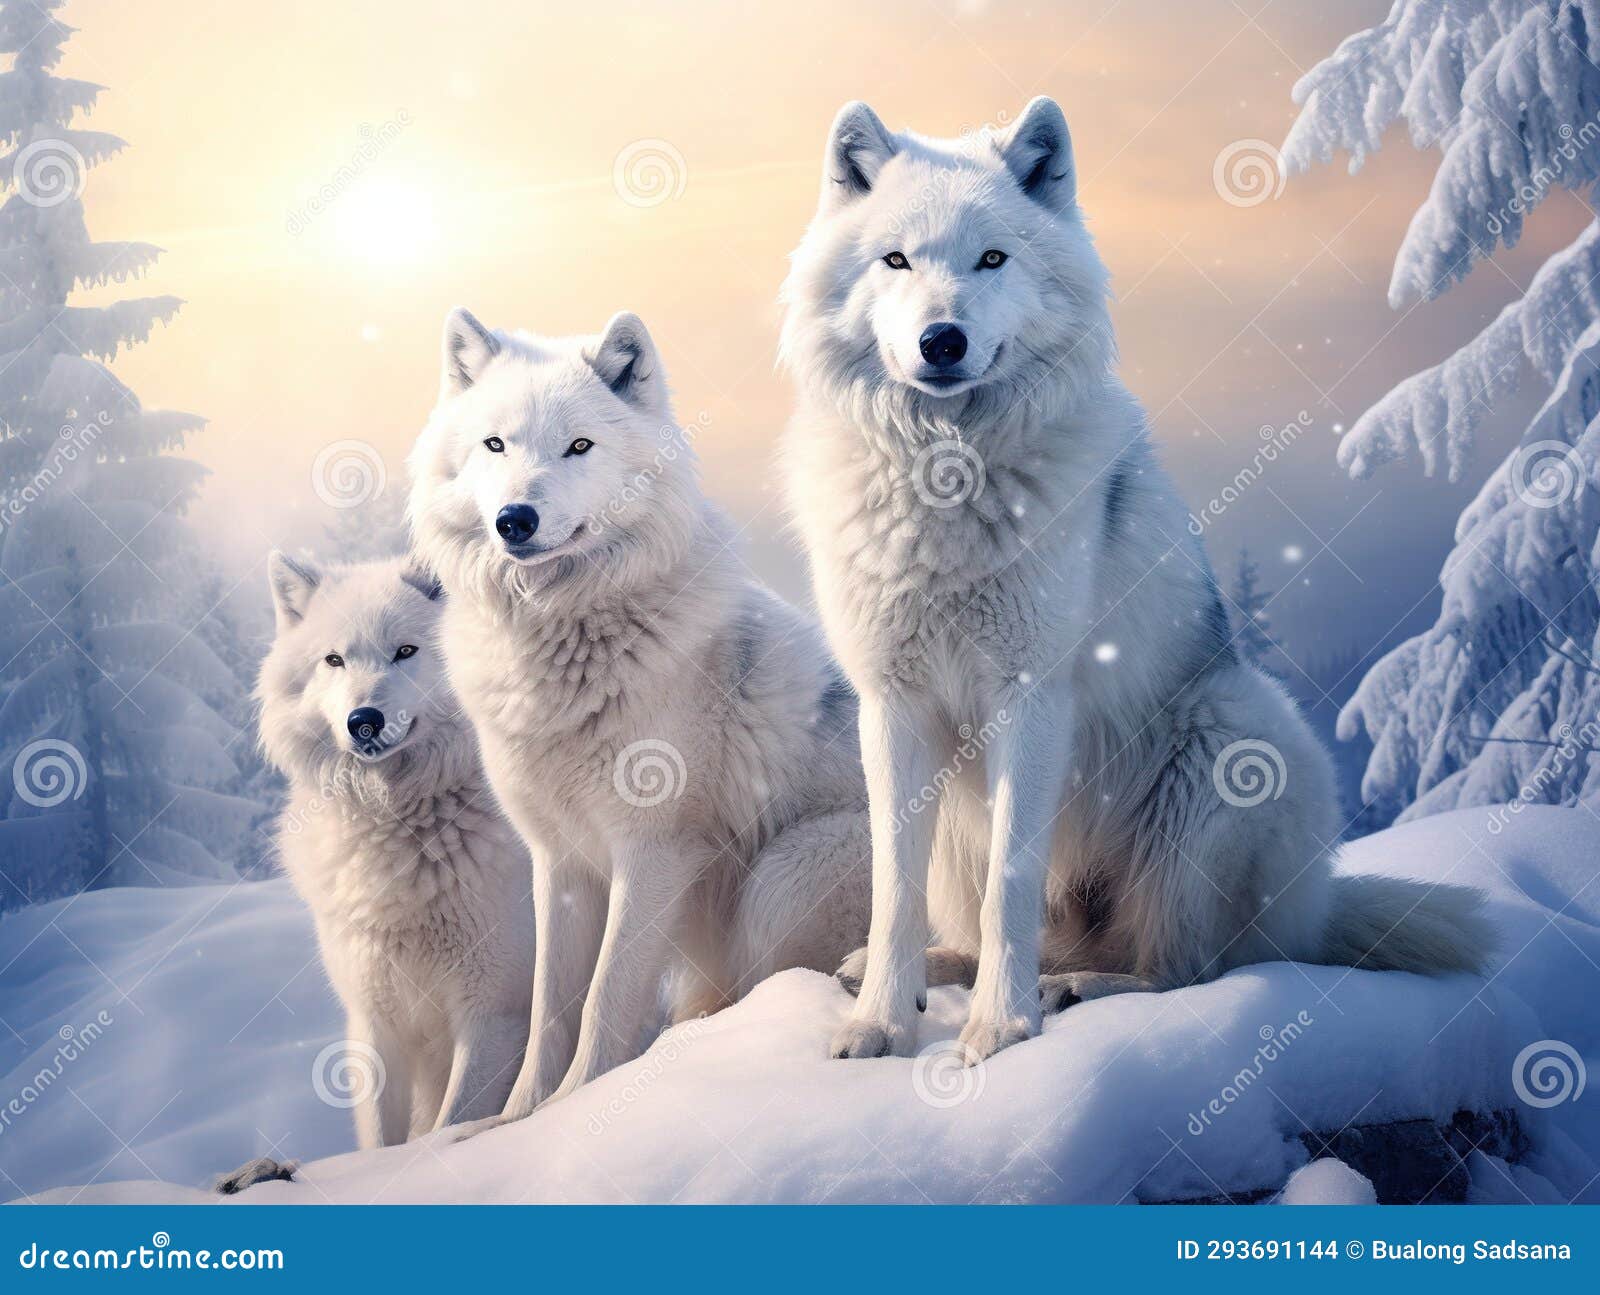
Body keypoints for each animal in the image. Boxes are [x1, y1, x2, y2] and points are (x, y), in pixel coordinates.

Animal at [257, 554, 535, 1146]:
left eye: (405, 651)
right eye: (334, 660)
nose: (363, 721)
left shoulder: (494, 1012)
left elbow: (452, 1122)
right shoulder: (374, 1022)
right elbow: (382, 1137)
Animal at [407, 308, 871, 1120]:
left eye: (579, 446)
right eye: (495, 445)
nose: (515, 519)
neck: (560, 646)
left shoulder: (655, 852)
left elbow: (606, 995)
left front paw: (579, 1102)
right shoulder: (559, 861)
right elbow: (550, 1006)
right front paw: (518, 1118)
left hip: (787, 874)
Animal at [779, 97, 1492, 1064]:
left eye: (992, 259)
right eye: (896, 260)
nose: (942, 340)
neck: (944, 479)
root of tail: (1316, 912)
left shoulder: (1033, 697)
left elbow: (1015, 884)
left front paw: (1002, 1029)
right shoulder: (891, 704)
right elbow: (894, 888)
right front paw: (882, 1024)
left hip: (1228, 746)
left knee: (1188, 967)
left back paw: (1072, 986)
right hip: (967, 821)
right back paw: (938, 971)